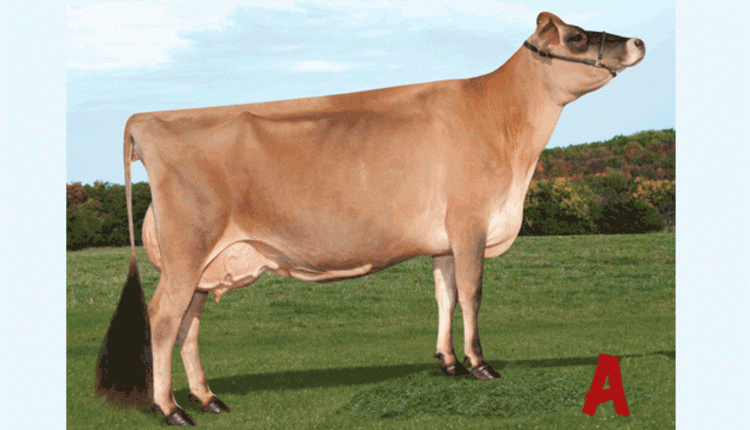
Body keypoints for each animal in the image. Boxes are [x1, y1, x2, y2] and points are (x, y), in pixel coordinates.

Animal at [95, 12, 645, 426]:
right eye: (577, 37)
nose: (639, 40)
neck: (508, 136)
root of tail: (146, 120)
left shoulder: (444, 239)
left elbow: (445, 295)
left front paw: (447, 362)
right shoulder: (470, 224)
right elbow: (472, 293)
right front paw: (480, 364)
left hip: (204, 262)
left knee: (188, 323)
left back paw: (208, 398)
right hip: (187, 250)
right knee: (163, 318)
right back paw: (170, 409)